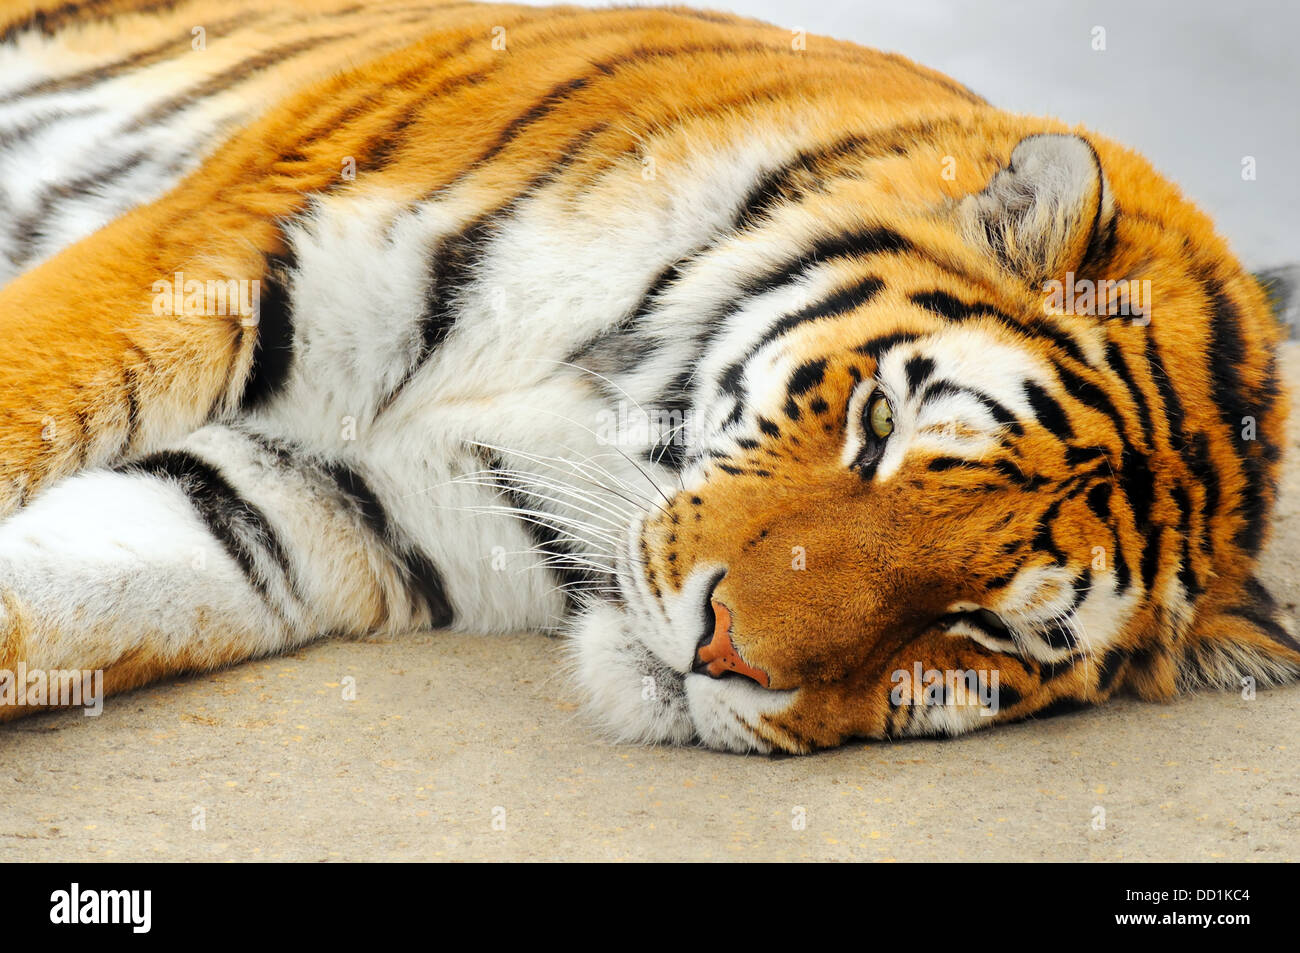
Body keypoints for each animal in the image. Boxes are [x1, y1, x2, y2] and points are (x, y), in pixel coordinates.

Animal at [0, 0, 1295, 754]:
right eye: (879, 422)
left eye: (974, 628)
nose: (723, 653)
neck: (608, 415)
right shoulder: (214, 248)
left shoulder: (325, 504)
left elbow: (83, 589)